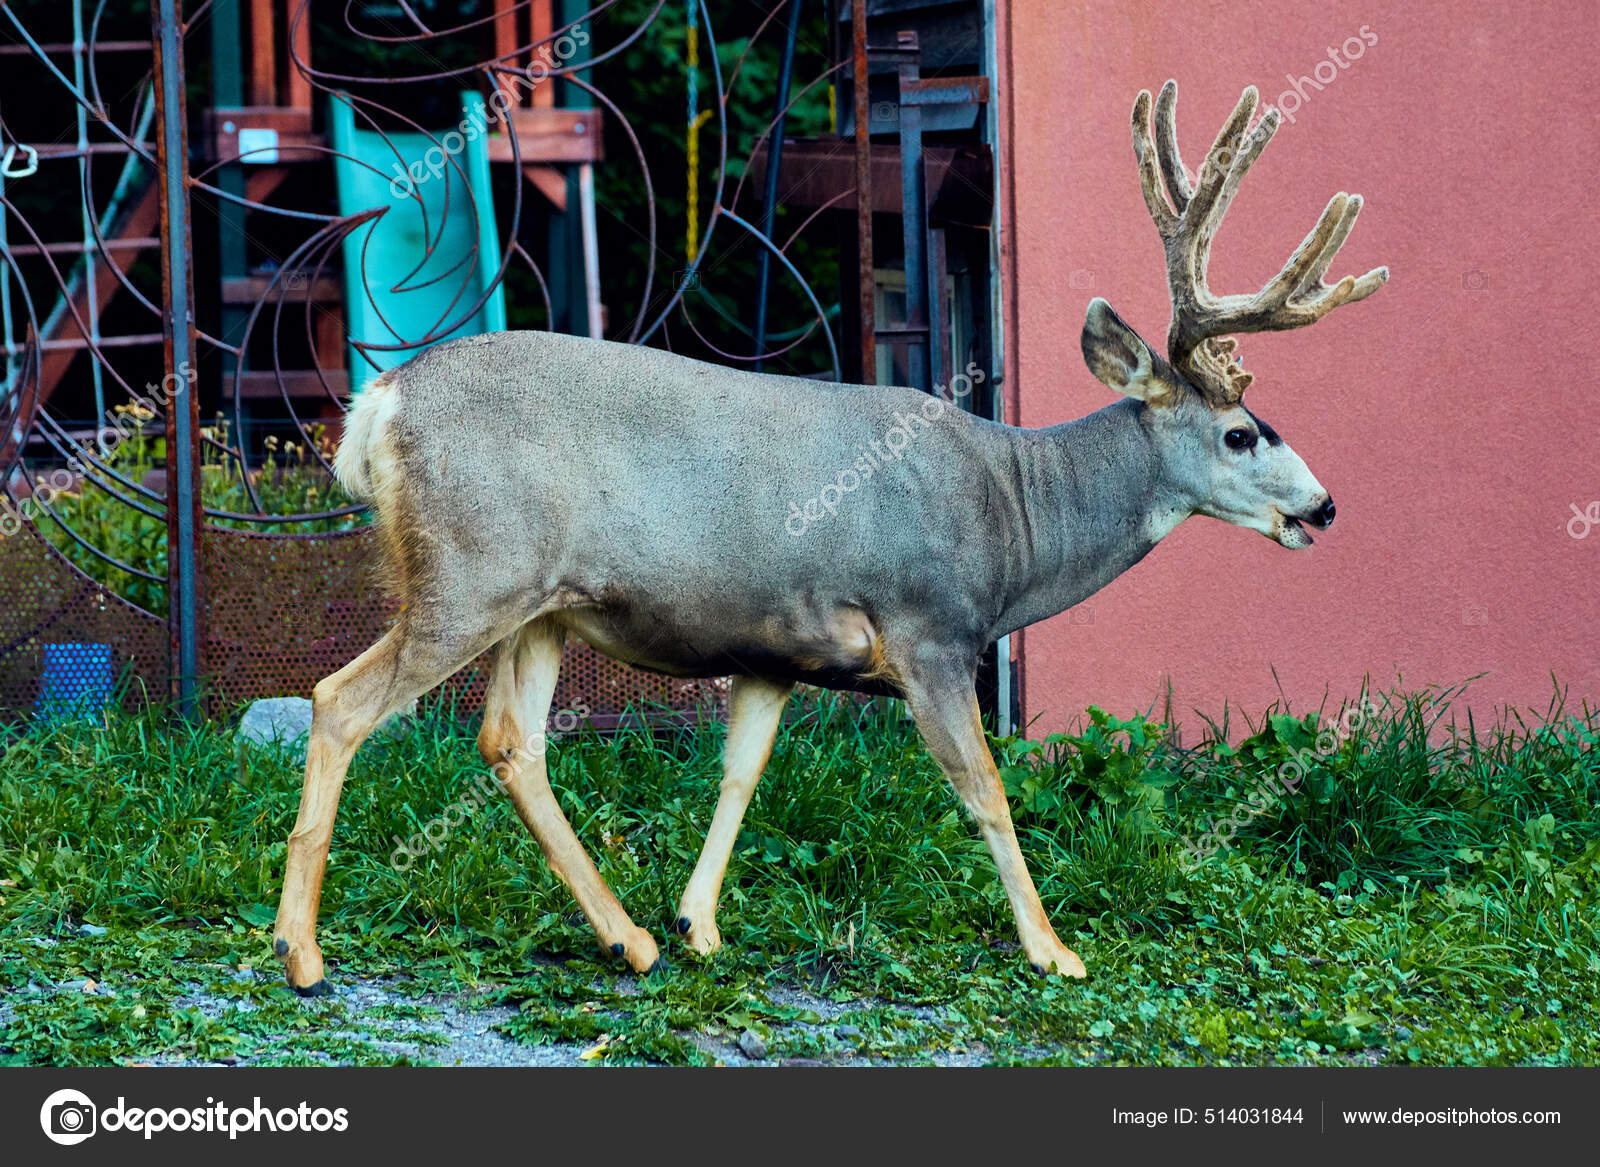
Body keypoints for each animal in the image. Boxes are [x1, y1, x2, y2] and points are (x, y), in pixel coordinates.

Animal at [272, 80, 1386, 995]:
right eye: (1240, 432)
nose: (1326, 506)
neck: (1012, 519)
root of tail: (379, 405)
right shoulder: (930, 628)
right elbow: (984, 790)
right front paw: (1053, 949)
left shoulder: (778, 648)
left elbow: (740, 774)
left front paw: (699, 924)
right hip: (469, 569)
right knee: (339, 700)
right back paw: (301, 951)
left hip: (541, 603)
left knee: (509, 740)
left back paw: (627, 938)